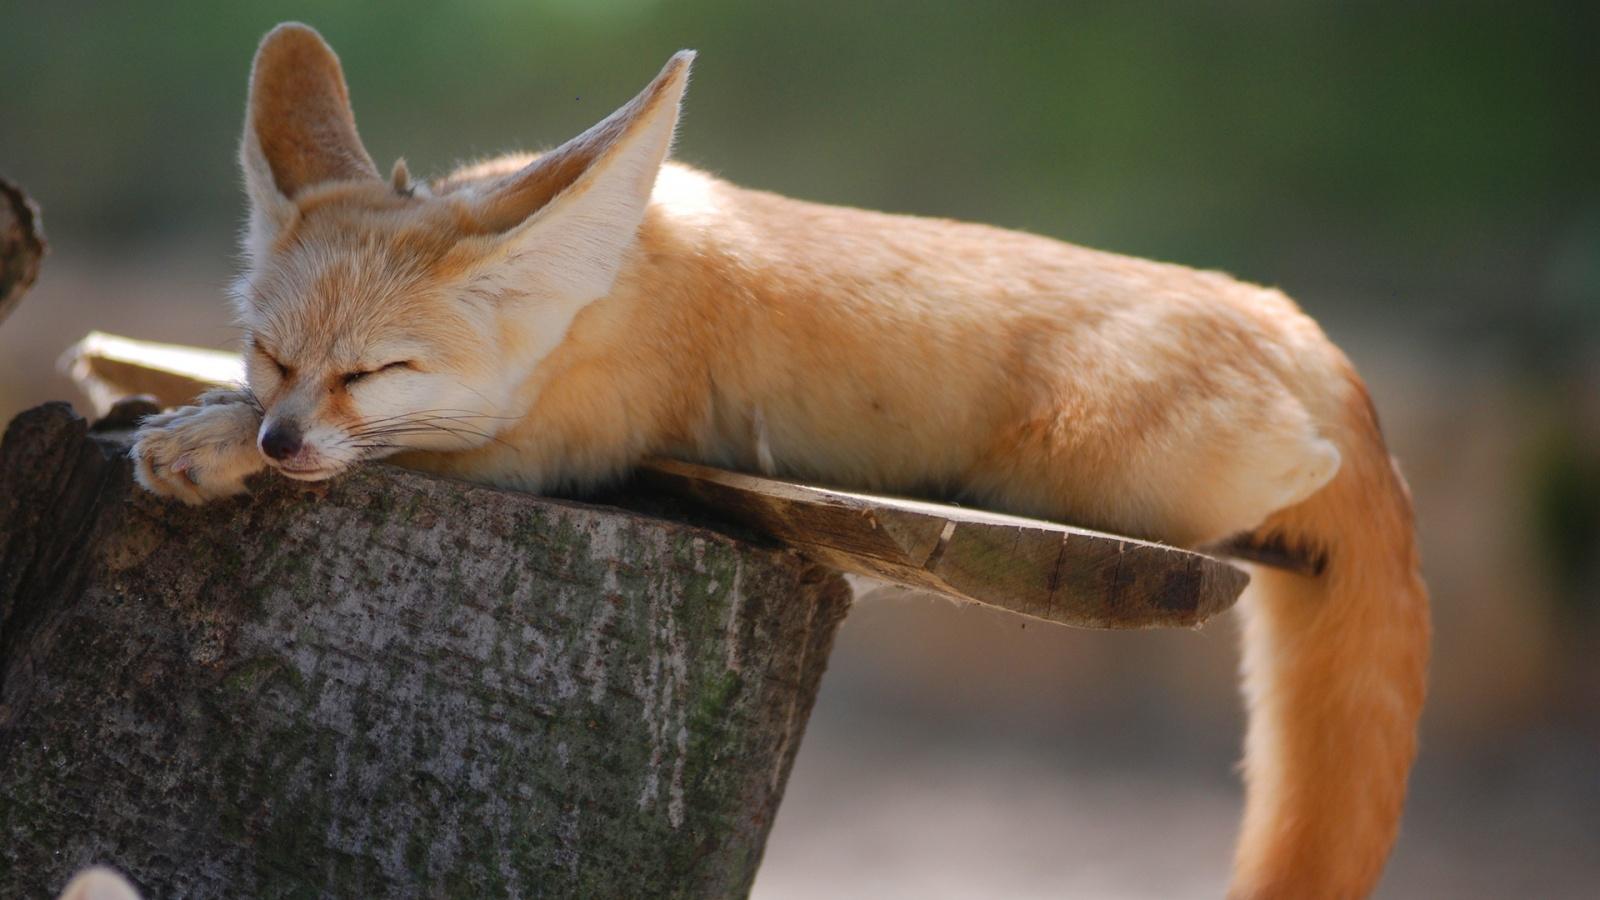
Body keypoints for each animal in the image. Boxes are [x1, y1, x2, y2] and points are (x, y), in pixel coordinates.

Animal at [130, 22, 1429, 899]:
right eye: (272, 354)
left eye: (374, 373)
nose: (280, 435)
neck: (610, 289)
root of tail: (1297, 323)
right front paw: (193, 410)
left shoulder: (557, 447)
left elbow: (391, 459)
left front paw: (202, 443)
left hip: (1091, 461)